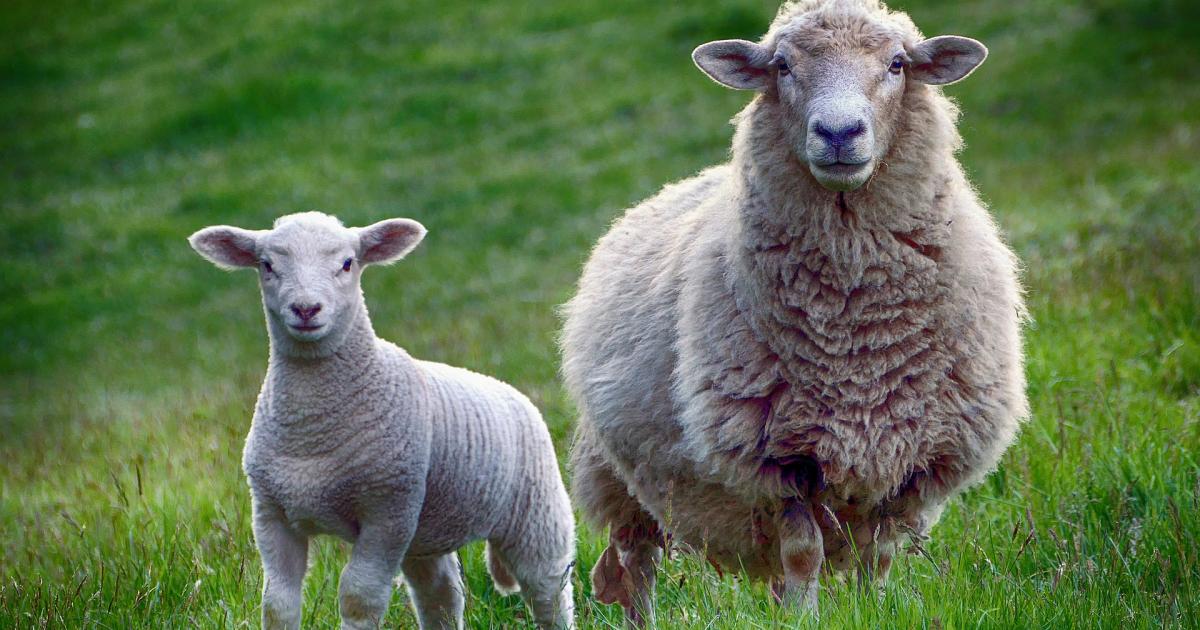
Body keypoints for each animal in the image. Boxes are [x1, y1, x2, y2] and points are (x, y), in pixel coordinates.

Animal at [188, 212, 575, 630]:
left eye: (347, 263)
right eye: (267, 265)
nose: (306, 309)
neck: (311, 431)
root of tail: (512, 392)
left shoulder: (387, 511)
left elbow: (359, 596)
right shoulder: (271, 513)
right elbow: (278, 603)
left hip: (536, 512)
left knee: (548, 590)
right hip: (426, 530)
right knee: (440, 594)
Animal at [561, 0, 1027, 623]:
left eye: (898, 64)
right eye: (782, 66)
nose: (839, 133)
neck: (856, 337)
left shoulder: (911, 459)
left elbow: (878, 557)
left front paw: (872, 612)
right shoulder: (779, 461)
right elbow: (804, 554)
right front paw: (806, 620)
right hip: (617, 479)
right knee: (633, 569)